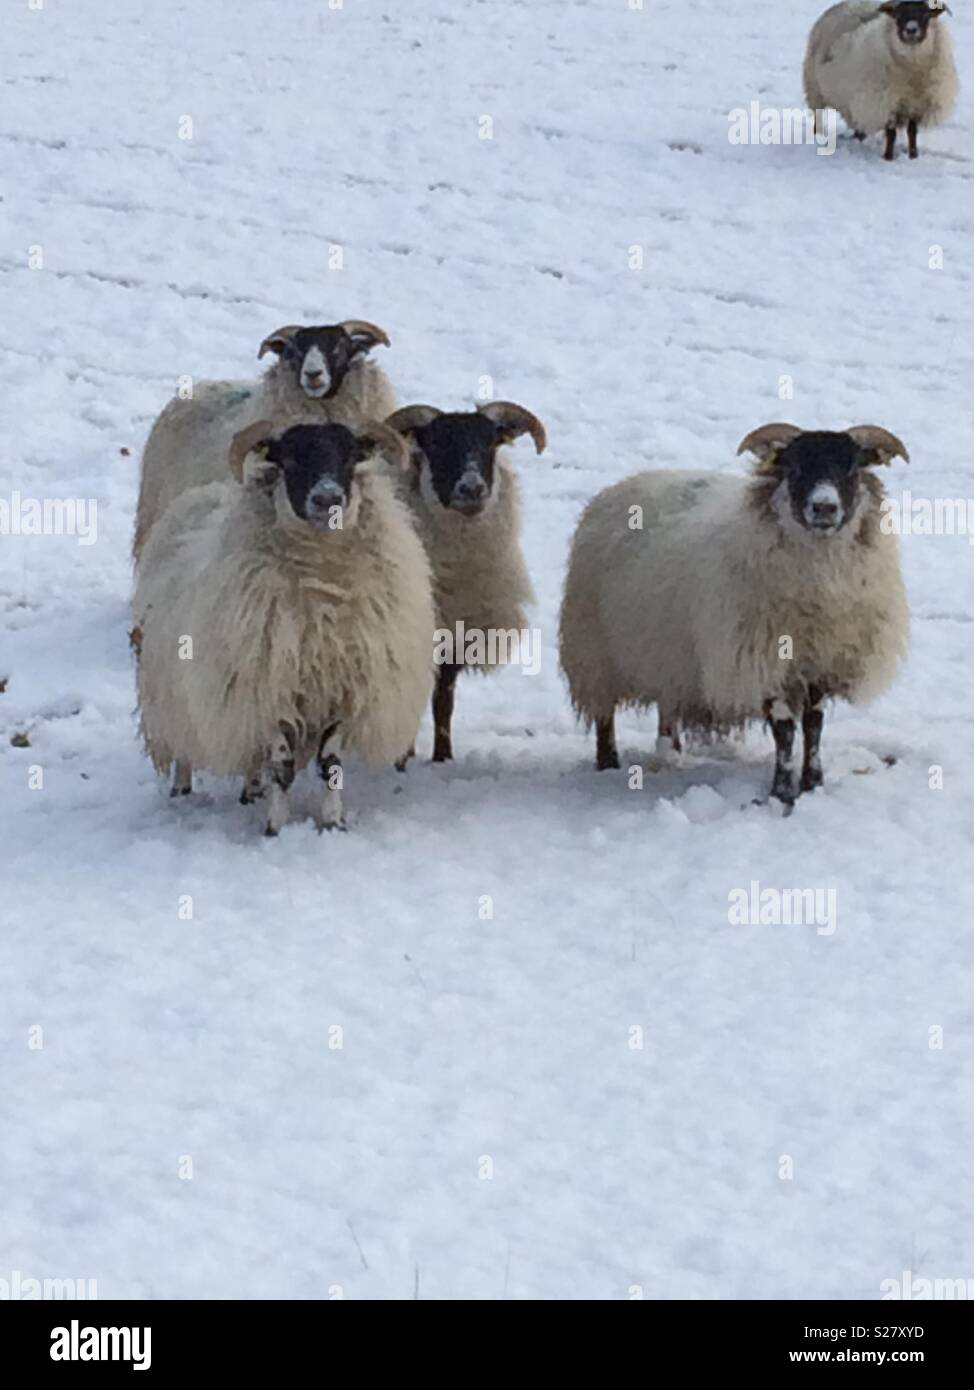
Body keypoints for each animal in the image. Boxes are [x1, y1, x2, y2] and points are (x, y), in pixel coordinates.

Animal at [134, 418, 435, 834]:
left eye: (351, 456)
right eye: (290, 458)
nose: (327, 499)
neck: (321, 584)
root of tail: (200, 494)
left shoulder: (343, 690)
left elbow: (330, 765)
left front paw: (332, 823)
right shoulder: (271, 688)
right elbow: (282, 765)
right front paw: (274, 827)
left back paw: (250, 791)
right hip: (175, 692)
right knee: (185, 744)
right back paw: (182, 789)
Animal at [384, 401, 547, 762]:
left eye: (490, 442)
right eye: (437, 443)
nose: (472, 489)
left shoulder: (456, 635)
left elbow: (443, 703)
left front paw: (442, 757)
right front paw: (402, 761)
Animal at [559, 424, 910, 808]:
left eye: (852, 468)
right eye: (794, 467)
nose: (824, 507)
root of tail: (620, 486)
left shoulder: (820, 662)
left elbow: (814, 725)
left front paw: (812, 783)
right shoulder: (764, 662)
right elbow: (785, 730)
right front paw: (782, 793)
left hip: (668, 653)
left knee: (667, 706)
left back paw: (671, 752)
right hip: (594, 652)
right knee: (604, 715)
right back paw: (608, 763)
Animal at [804, 1, 958, 160]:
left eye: (926, 15)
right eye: (897, 15)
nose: (911, 30)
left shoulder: (916, 105)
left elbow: (912, 132)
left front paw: (913, 155)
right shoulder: (885, 104)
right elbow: (891, 134)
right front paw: (888, 157)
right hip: (814, 88)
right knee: (818, 116)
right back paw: (818, 136)